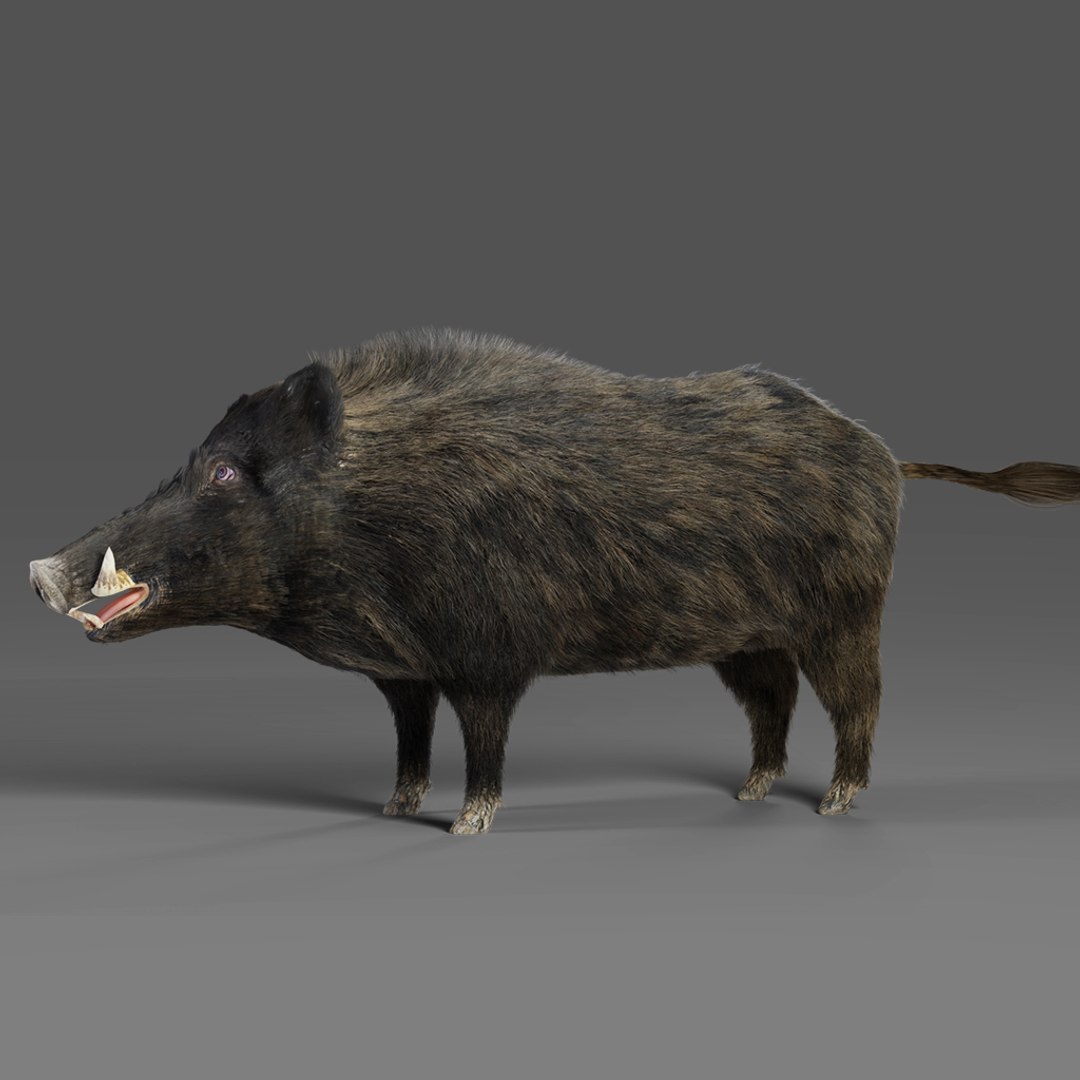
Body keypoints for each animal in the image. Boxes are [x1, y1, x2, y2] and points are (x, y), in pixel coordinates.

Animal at [29, 328, 1080, 833]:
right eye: (194, 461)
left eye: (221, 475)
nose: (39, 569)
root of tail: (887, 455)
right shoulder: (402, 671)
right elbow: (410, 741)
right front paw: (396, 809)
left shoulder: (488, 655)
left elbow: (484, 743)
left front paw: (466, 828)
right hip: (748, 638)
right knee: (771, 703)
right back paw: (750, 794)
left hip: (847, 612)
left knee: (859, 701)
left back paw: (833, 804)